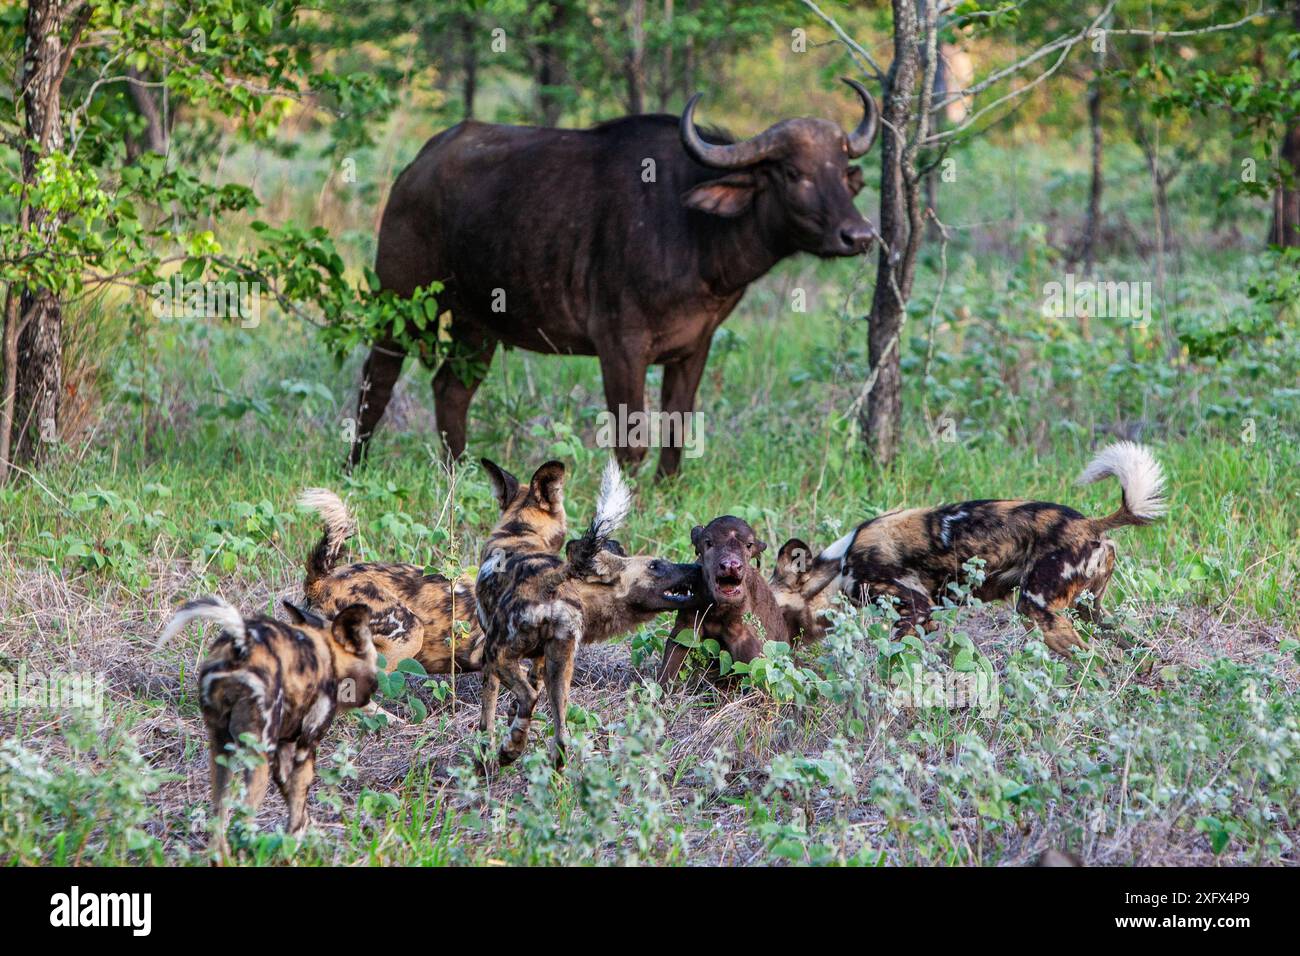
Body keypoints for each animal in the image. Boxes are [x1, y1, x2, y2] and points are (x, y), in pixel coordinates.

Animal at [350, 79, 879, 477]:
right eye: (792, 172)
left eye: (842, 170)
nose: (859, 235)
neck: (694, 232)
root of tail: (414, 171)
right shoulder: (620, 346)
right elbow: (630, 442)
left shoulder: (694, 347)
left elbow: (676, 429)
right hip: (398, 302)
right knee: (376, 384)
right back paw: (355, 466)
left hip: (477, 324)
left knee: (450, 391)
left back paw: (458, 472)